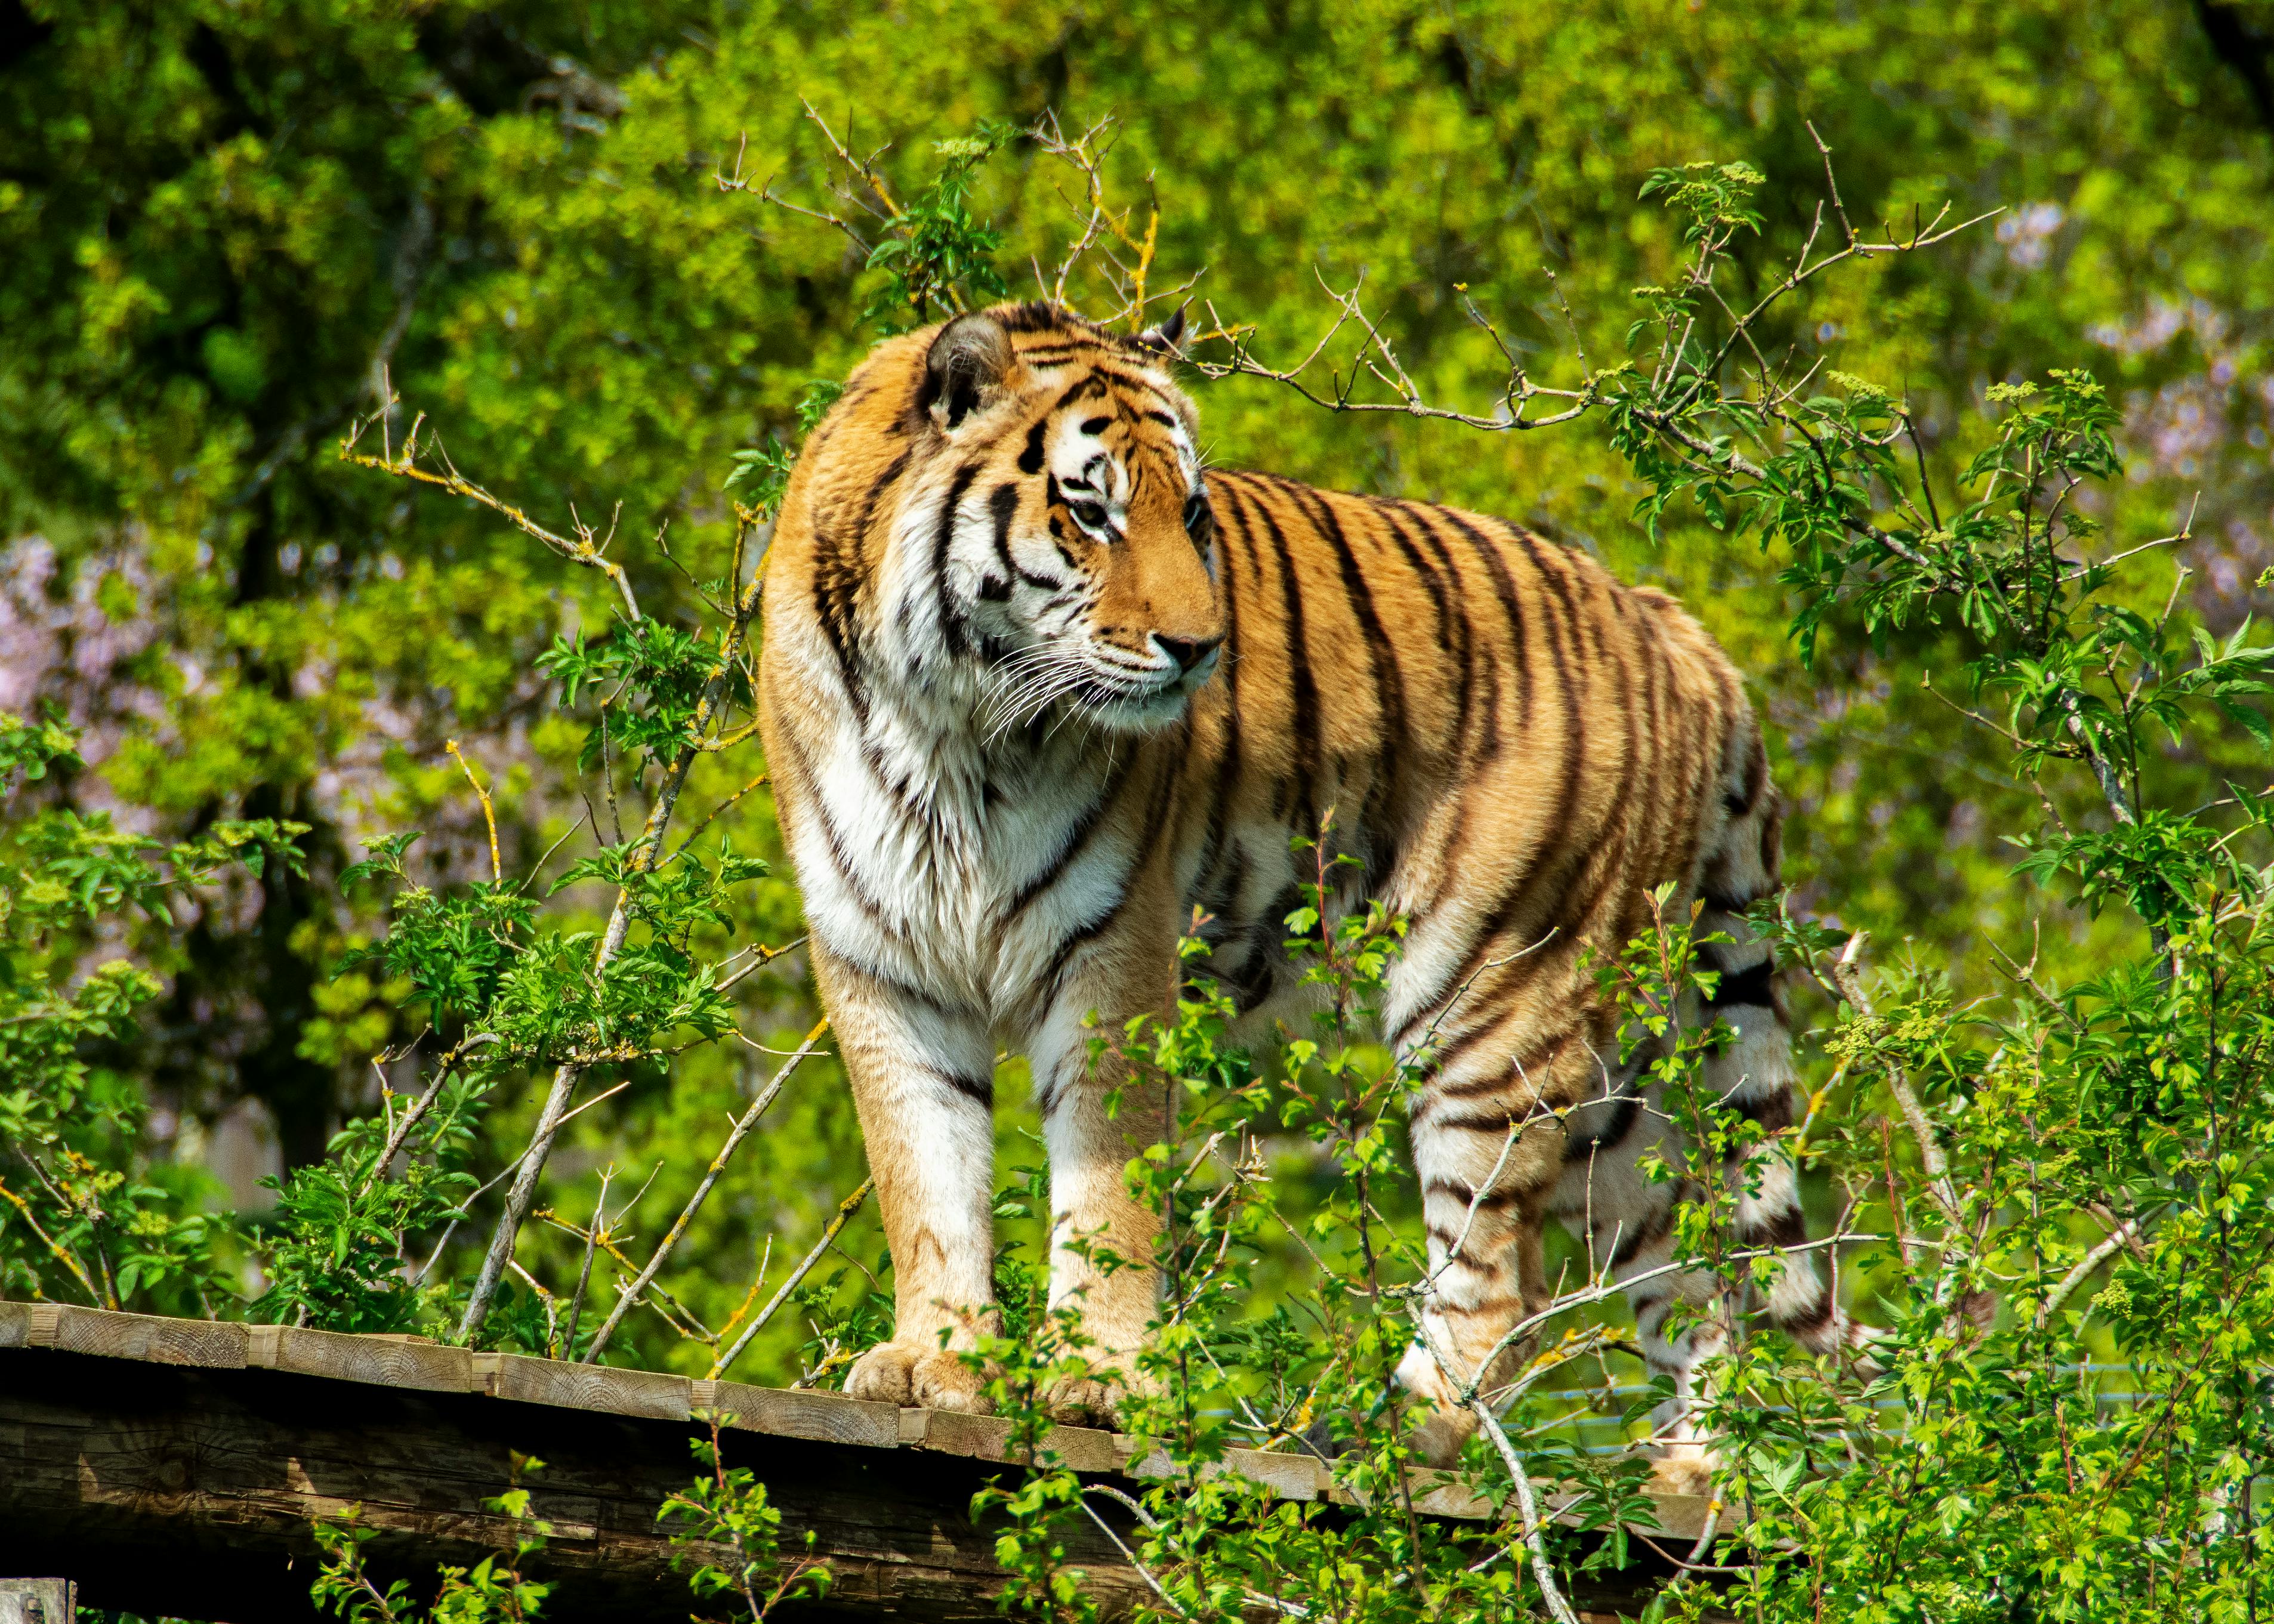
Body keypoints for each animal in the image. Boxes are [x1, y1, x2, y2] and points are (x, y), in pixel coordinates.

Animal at [754, 299, 1853, 1482]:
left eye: (1189, 512)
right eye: (1090, 512)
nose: (1199, 650)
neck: (951, 719)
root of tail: (1670, 626)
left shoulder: (1110, 944)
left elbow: (1108, 1186)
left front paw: (1101, 1381)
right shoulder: (882, 960)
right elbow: (927, 1179)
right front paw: (935, 1365)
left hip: (1498, 992)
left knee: (1502, 1271)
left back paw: (1402, 1425)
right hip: (1622, 1081)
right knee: (1695, 1270)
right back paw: (1703, 1474)